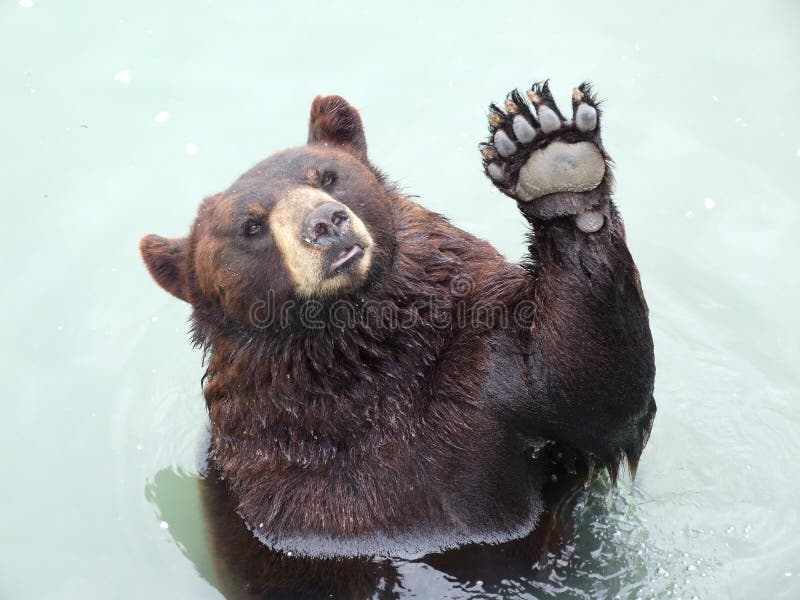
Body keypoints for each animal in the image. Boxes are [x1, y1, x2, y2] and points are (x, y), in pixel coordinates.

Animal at [140, 81, 656, 562]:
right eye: (251, 225)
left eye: (327, 176)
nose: (325, 223)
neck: (358, 347)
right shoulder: (269, 464)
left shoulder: (474, 359)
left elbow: (581, 387)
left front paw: (548, 155)